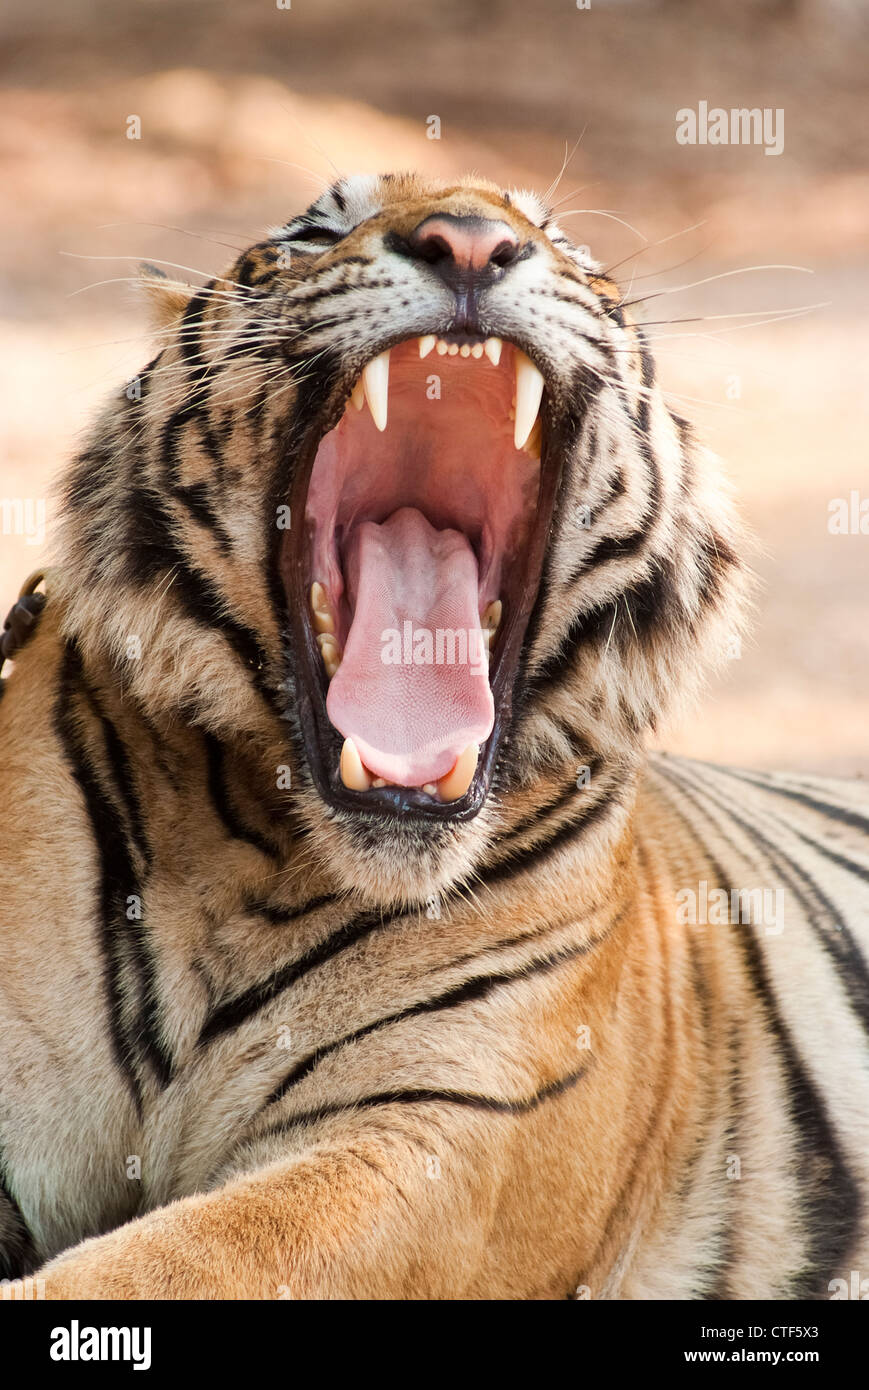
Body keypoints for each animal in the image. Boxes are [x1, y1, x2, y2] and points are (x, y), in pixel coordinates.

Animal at [1, 171, 867, 1302]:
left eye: (559, 242)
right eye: (318, 227)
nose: (468, 242)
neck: (258, 860)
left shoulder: (446, 1139)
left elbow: (186, 1260)